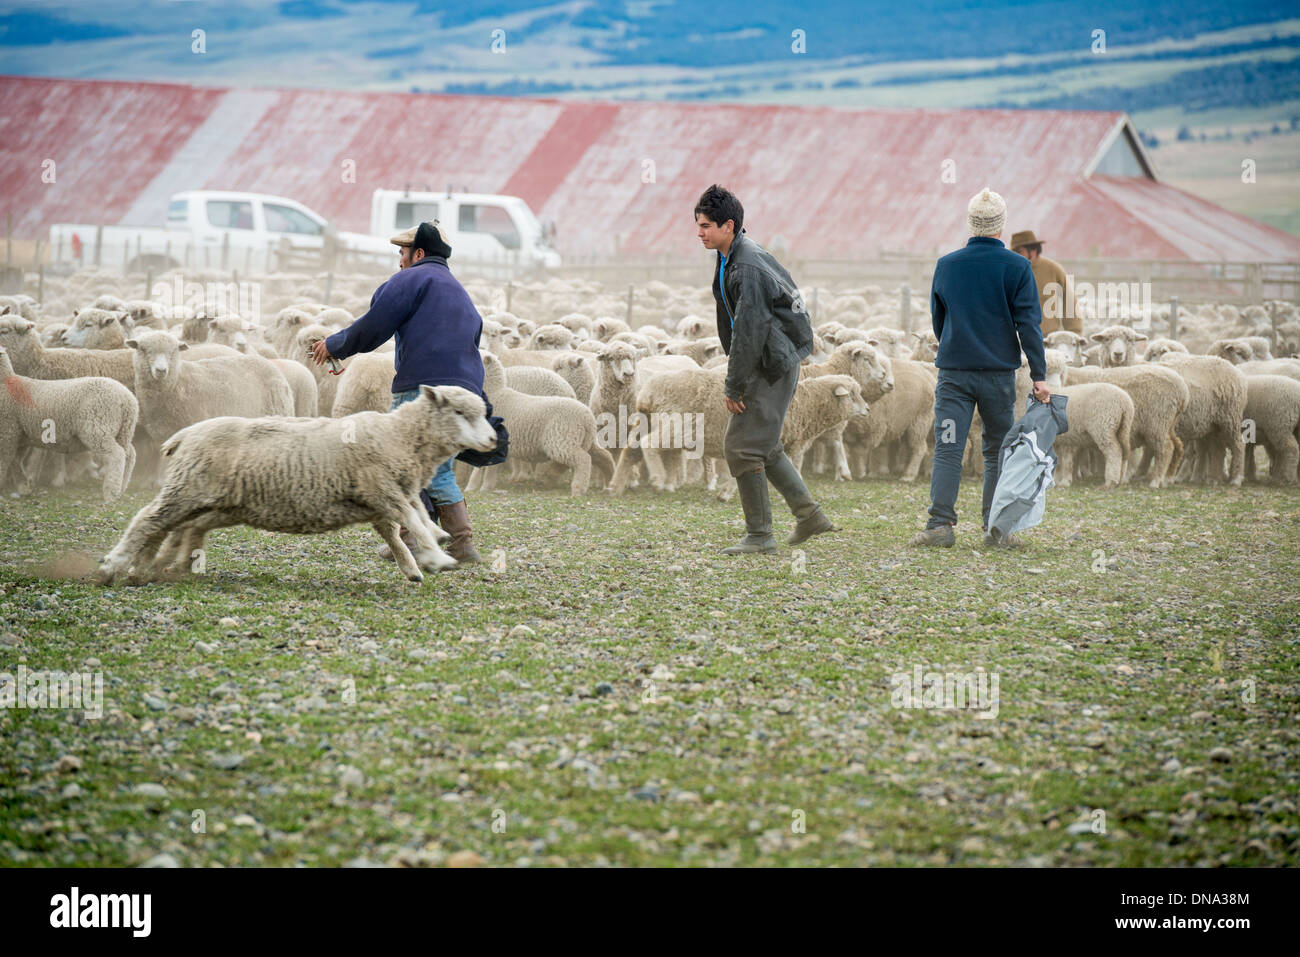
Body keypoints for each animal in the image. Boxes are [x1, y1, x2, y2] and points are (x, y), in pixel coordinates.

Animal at [0, 346, 138, 501]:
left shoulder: (7, 430)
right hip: (123, 431)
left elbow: (5, 460)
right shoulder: (19, 435)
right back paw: (121, 488)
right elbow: (15, 460)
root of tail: (128, 400)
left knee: (117, 454)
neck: (5, 381)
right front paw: (24, 487)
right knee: (129, 453)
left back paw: (111, 493)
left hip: (98, 428)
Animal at [97, 385, 496, 585]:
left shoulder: (385, 497)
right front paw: (436, 558)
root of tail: (183, 435)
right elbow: (411, 522)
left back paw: (154, 565)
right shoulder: (381, 488)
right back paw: (116, 564)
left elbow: (406, 527)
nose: (493, 440)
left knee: (176, 527)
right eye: (460, 413)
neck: (398, 435)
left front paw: (417, 562)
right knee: (148, 520)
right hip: (188, 488)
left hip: (215, 501)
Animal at [475, 352, 615, 495]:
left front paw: (481, 486)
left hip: (562, 441)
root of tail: (587, 417)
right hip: (584, 440)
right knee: (603, 456)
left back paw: (578, 489)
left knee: (584, 459)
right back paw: (609, 482)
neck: (495, 393)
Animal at [1060, 363, 1189, 487]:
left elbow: (1070, 456)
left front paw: (1067, 478)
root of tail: (1182, 390)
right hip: (1168, 424)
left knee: (1166, 448)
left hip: (1157, 423)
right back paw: (1168, 478)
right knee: (1177, 446)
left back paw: (1156, 481)